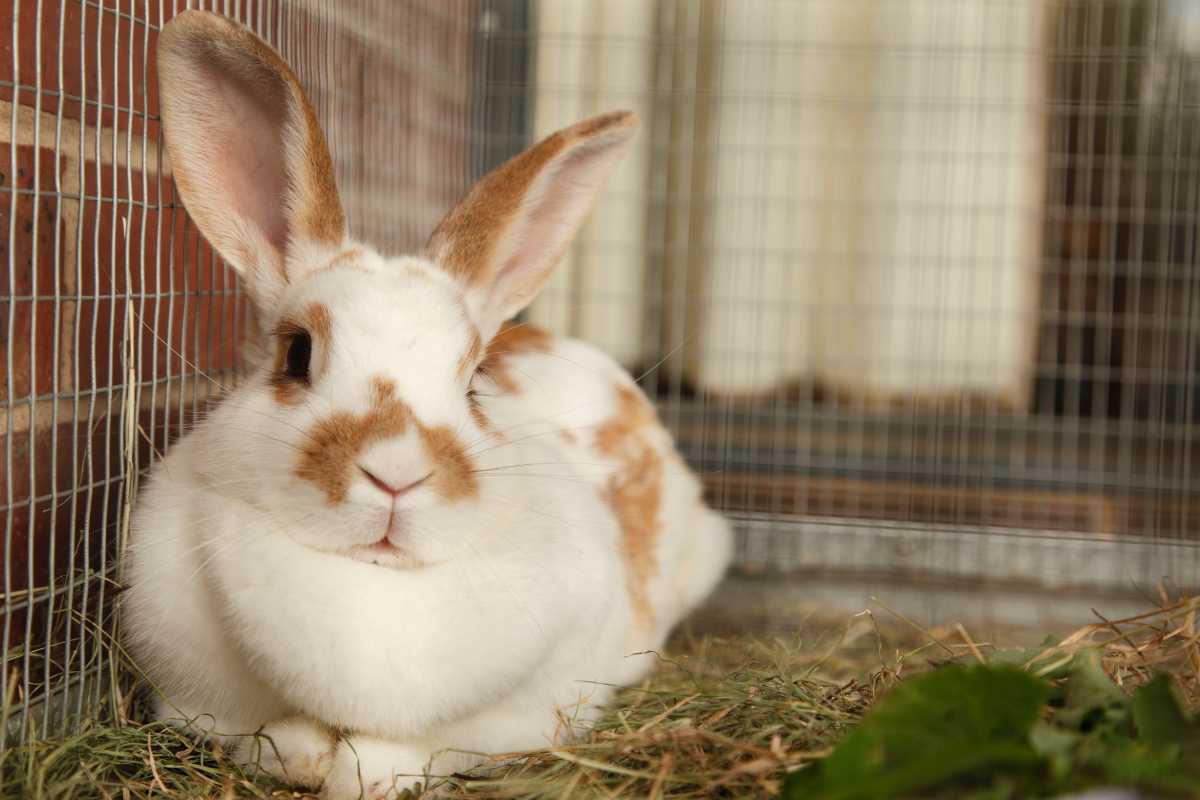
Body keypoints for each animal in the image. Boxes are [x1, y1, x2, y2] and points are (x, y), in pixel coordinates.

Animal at [120, 10, 732, 799]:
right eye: (297, 354)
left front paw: (366, 770)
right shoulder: (192, 691)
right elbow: (272, 739)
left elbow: (416, 750)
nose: (395, 473)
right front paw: (307, 753)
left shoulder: (533, 706)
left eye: (473, 380)